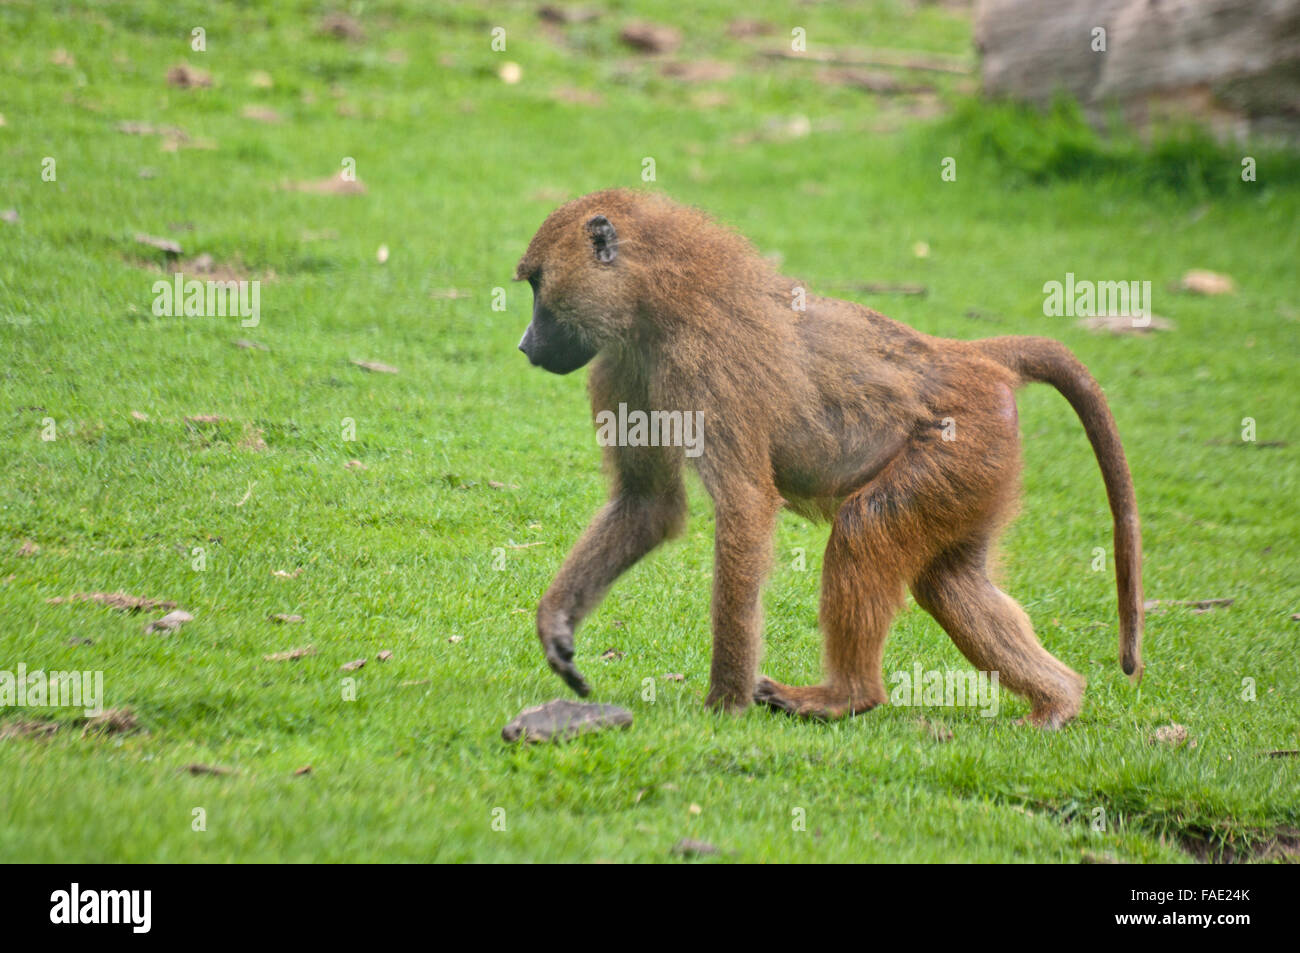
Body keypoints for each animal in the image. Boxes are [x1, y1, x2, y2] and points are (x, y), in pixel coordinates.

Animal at [513, 189, 1142, 727]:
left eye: (537, 286)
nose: (524, 345)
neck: (659, 298)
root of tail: (968, 356)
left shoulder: (705, 364)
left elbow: (744, 506)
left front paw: (724, 703)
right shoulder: (621, 366)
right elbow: (650, 505)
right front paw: (557, 625)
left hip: (958, 444)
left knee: (865, 529)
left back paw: (845, 697)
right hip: (980, 466)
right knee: (949, 582)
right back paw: (1058, 701)